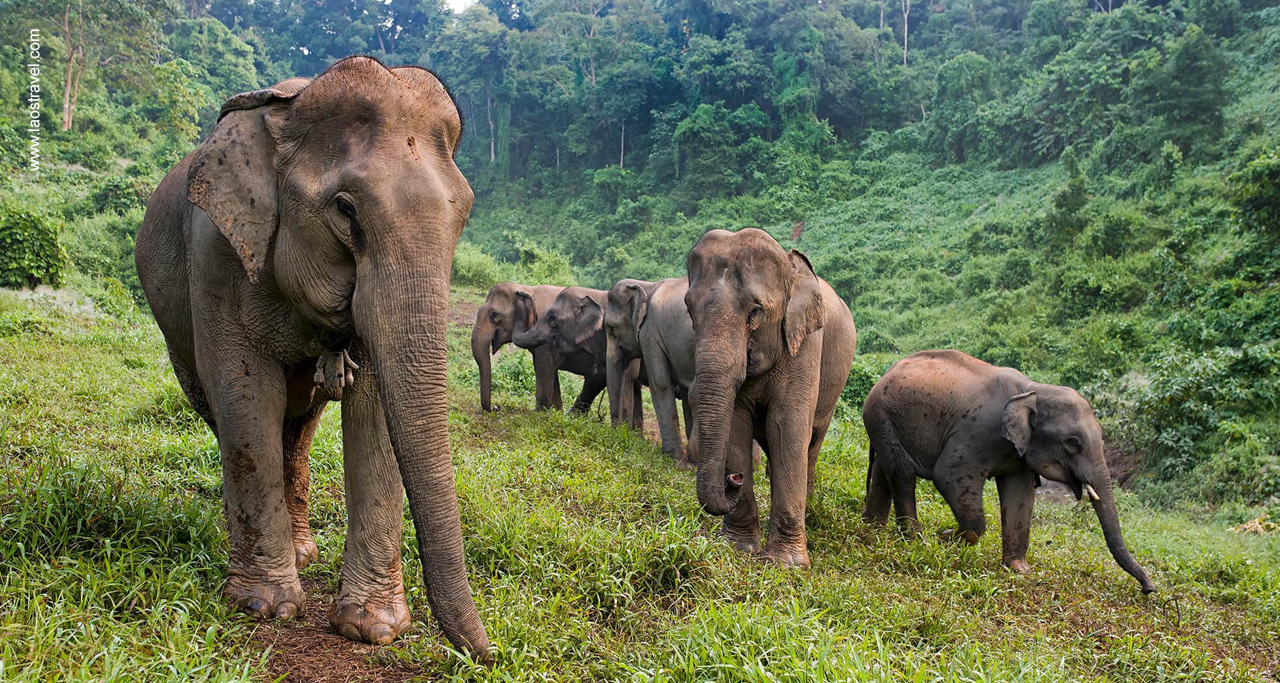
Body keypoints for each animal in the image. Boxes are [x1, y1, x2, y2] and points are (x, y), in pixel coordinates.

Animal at [133, 57, 490, 657]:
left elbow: (374, 407)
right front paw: (263, 607)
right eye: (345, 210)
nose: (486, 655)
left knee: (299, 426)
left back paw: (302, 553)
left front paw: (373, 628)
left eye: (463, 214)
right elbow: (245, 391)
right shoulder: (215, 252)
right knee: (226, 413)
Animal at [471, 282, 565, 412]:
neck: (526, 289)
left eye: (495, 315)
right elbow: (550, 369)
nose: (496, 407)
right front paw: (556, 411)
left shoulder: (546, 336)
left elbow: (543, 367)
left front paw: (540, 412)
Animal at [605, 277, 698, 466]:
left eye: (611, 328)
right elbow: (687, 395)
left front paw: (674, 458)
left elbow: (660, 384)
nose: (616, 434)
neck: (648, 286)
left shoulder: (650, 334)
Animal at [685, 228, 857, 568]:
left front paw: (787, 564)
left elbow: (787, 426)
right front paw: (739, 550)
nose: (734, 478)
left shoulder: (805, 345)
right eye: (688, 309)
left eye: (755, 312)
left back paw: (810, 513)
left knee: (811, 445)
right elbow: (737, 424)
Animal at [860, 349, 1157, 594]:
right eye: (1073, 443)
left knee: (885, 473)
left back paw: (873, 529)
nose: (1149, 589)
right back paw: (915, 540)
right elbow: (948, 473)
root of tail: (887, 372)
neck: (1032, 389)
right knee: (903, 474)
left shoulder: (1017, 454)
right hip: (882, 414)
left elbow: (1020, 495)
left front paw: (1019, 570)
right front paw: (944, 539)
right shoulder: (978, 432)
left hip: (887, 422)